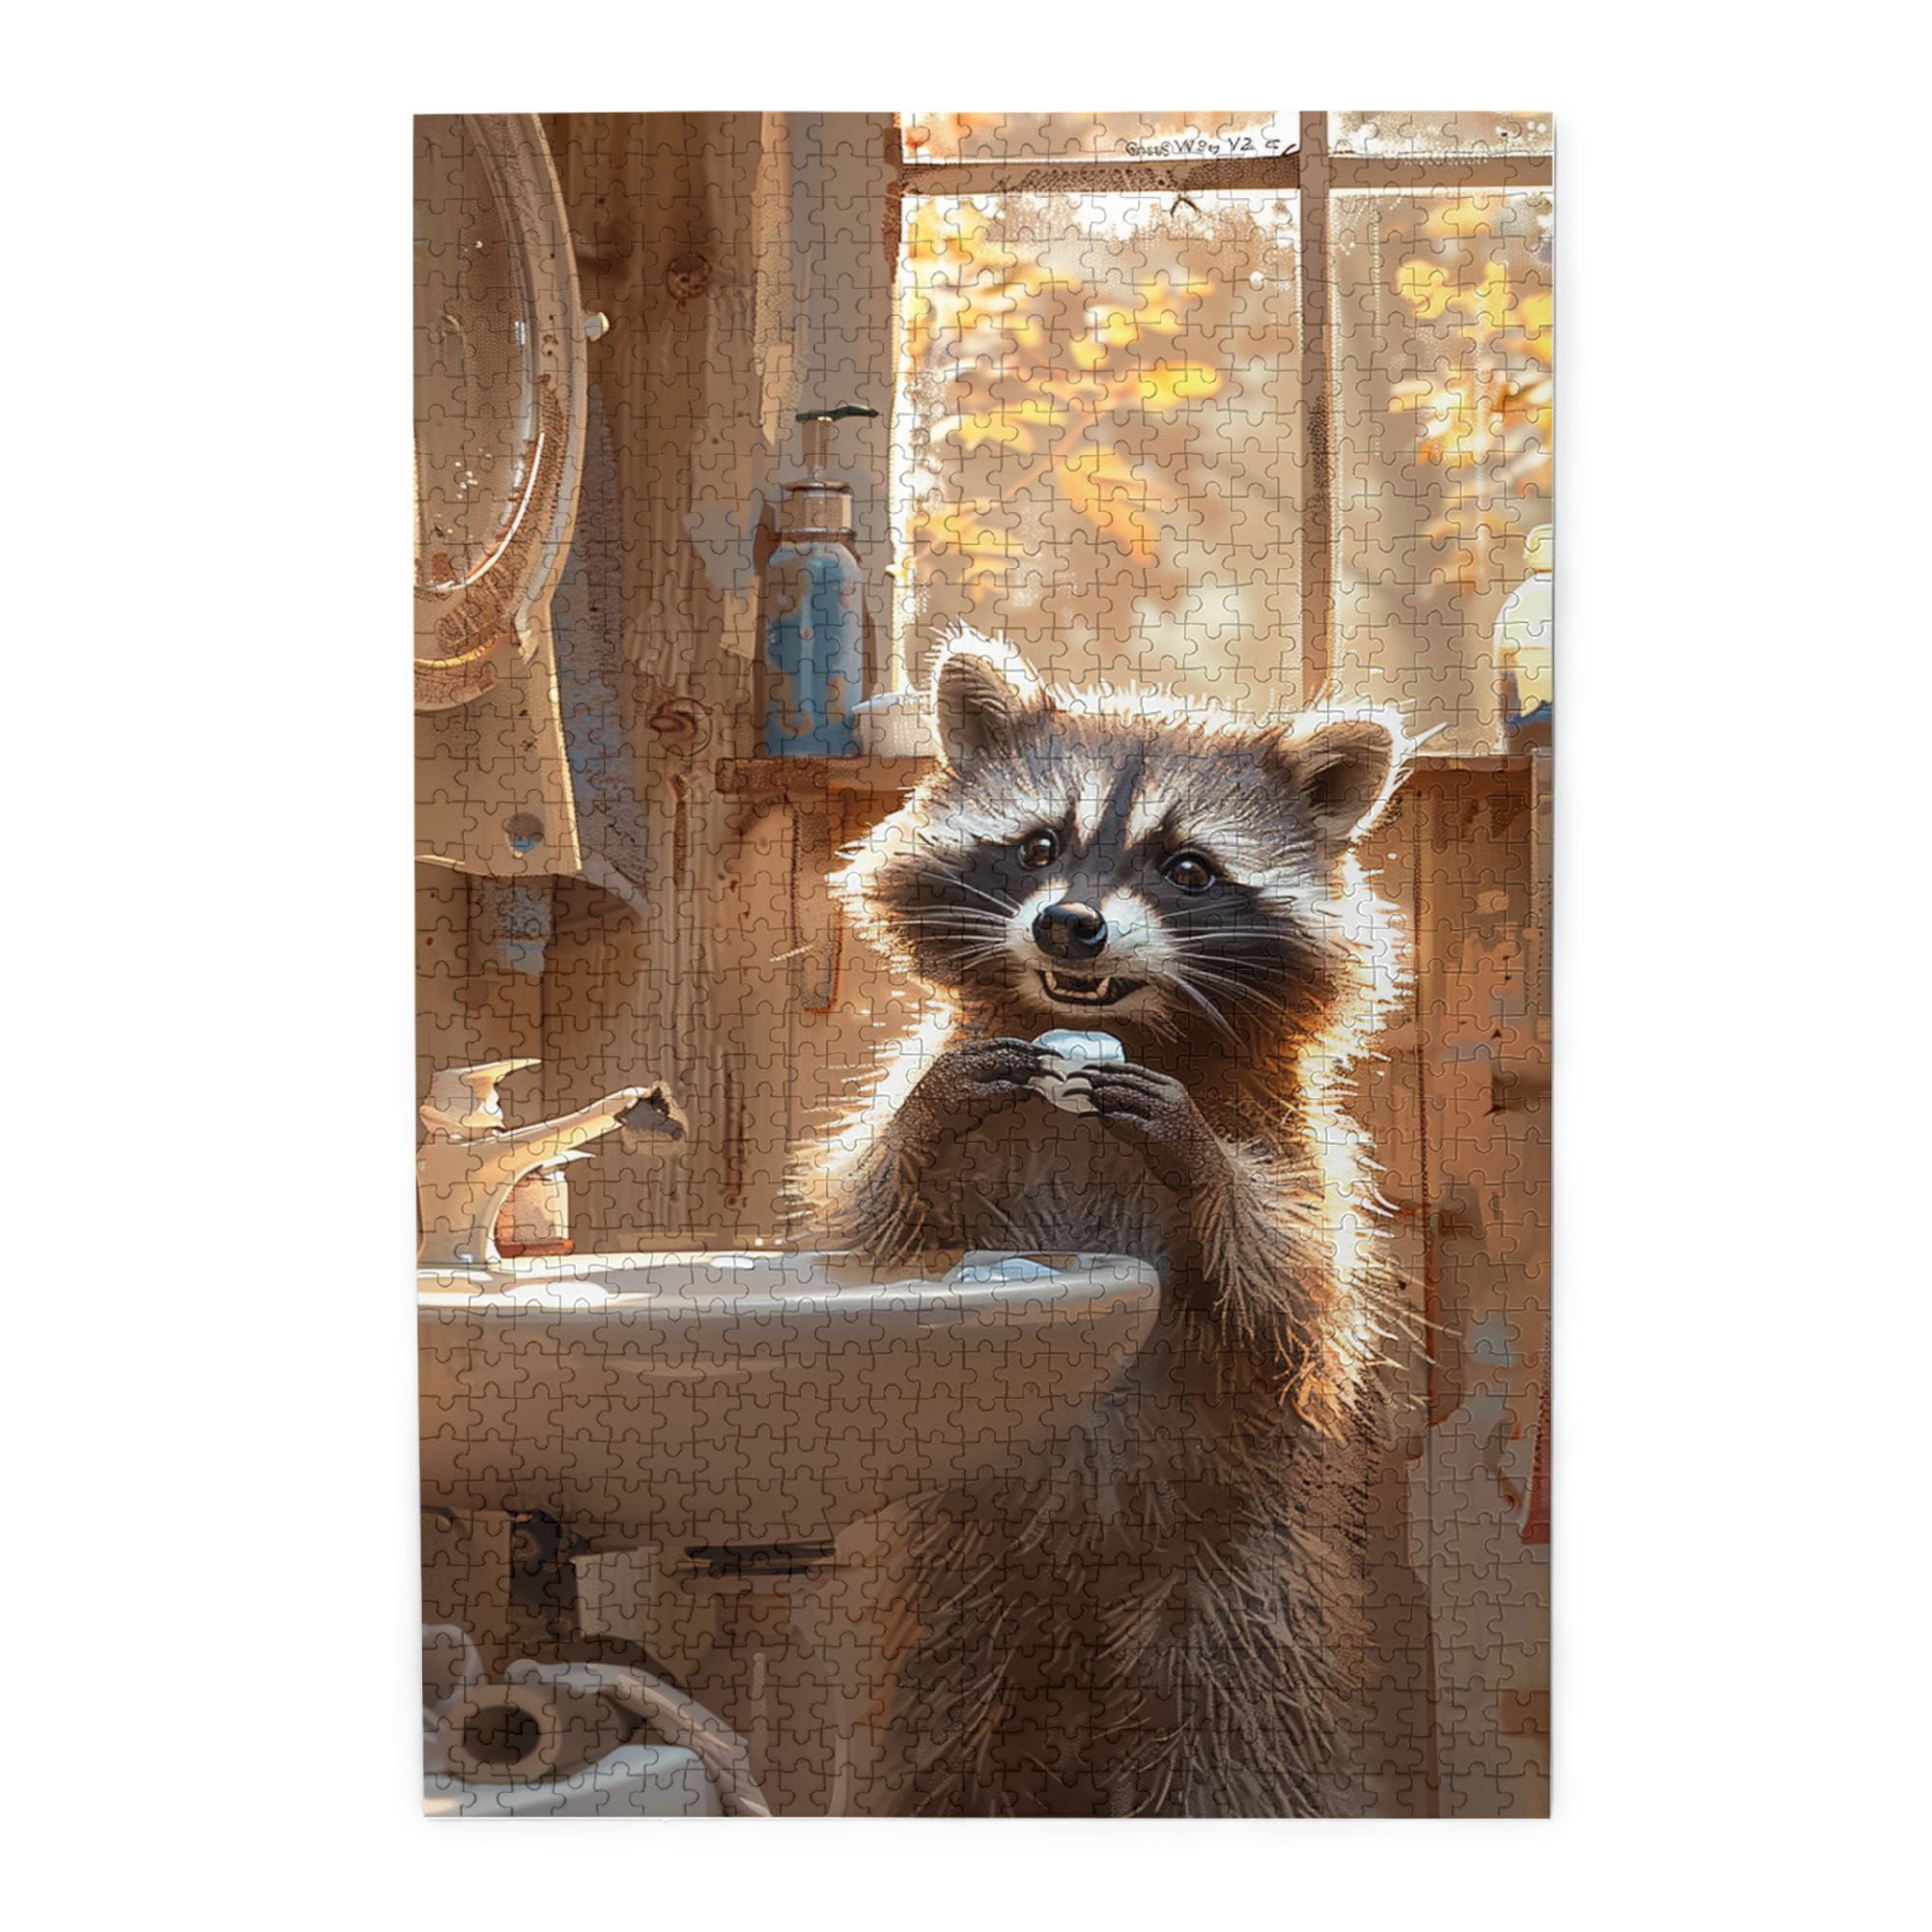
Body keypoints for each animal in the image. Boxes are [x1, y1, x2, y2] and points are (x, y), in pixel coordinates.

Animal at [799, 633, 1415, 1817]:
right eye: (1041, 845)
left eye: (1188, 869)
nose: (1067, 924)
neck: (1121, 1029)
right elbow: (870, 1221)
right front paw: (923, 1120)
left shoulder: (1307, 1153)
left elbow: (1298, 1298)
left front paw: (1202, 1162)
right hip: (958, 1573)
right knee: (945, 1731)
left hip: (1241, 1570)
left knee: (1242, 1740)